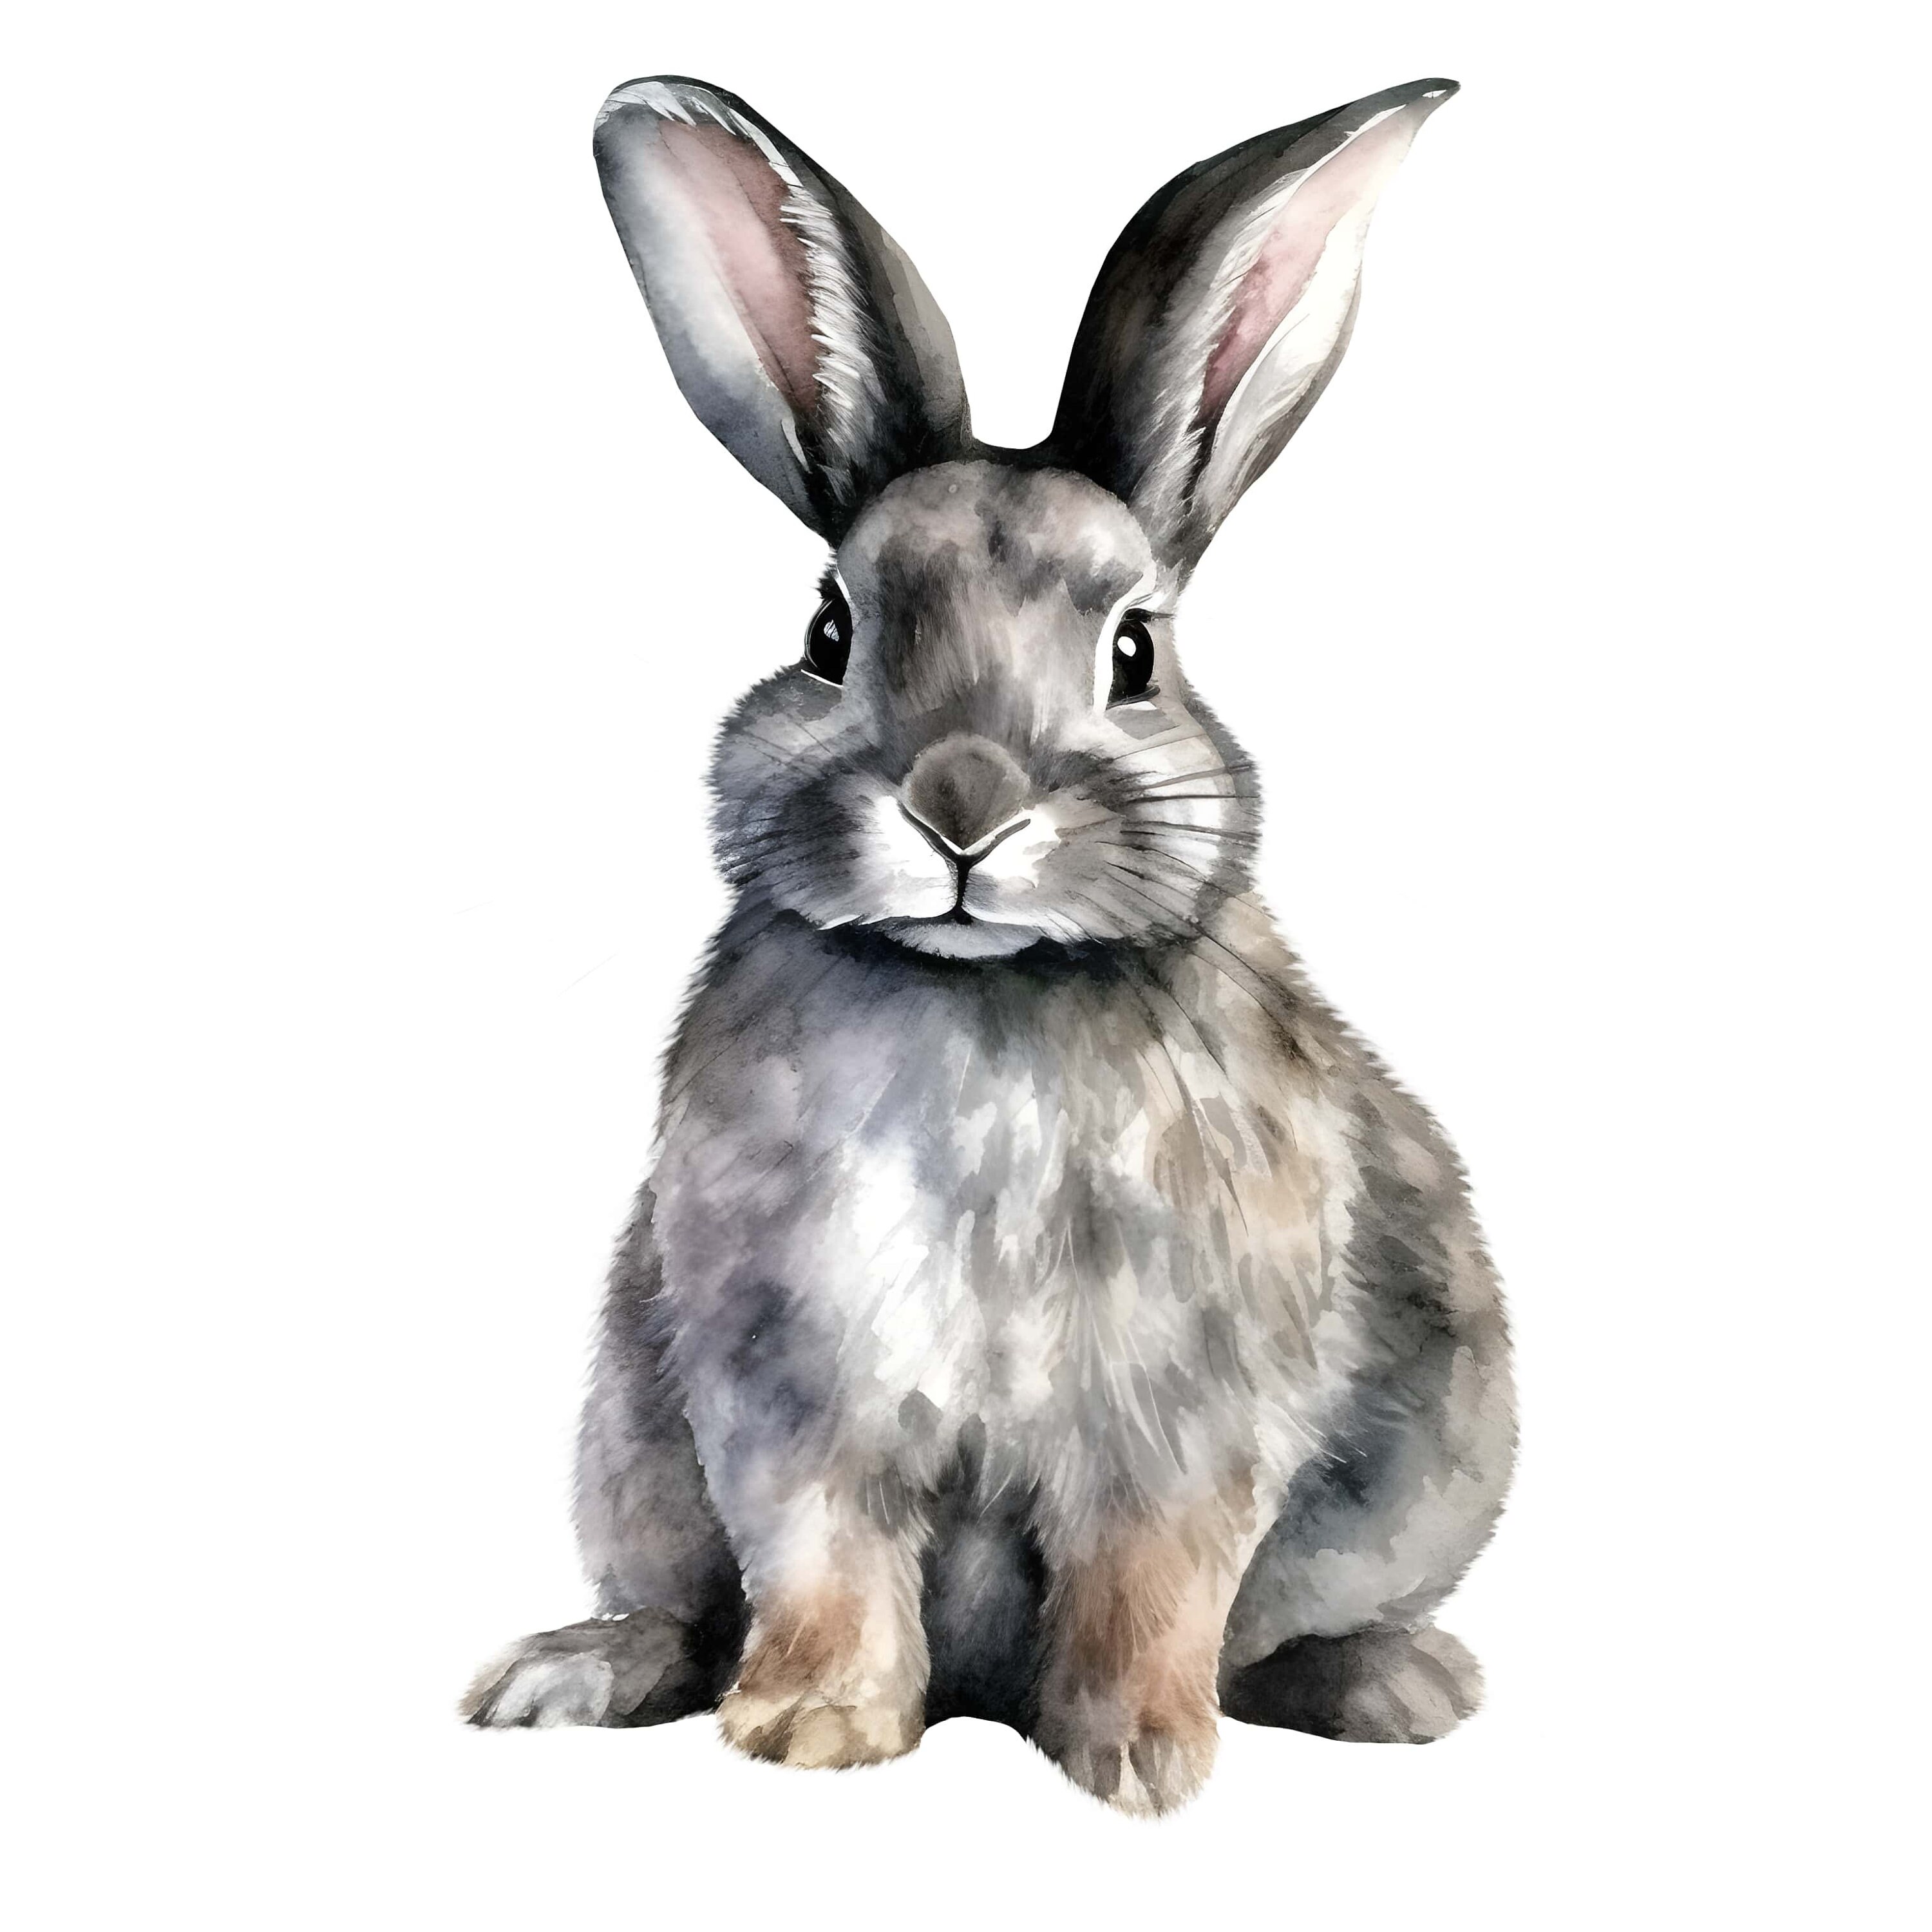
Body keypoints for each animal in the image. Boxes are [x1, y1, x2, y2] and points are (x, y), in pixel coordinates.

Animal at [462, 73, 1516, 1816]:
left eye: (1137, 651)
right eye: (829, 630)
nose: (963, 806)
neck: (978, 997)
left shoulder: (1186, 1423)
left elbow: (1150, 1577)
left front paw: (1137, 1761)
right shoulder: (787, 1400)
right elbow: (819, 1557)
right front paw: (808, 1729)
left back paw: (1397, 1684)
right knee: (680, 1609)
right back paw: (564, 1673)